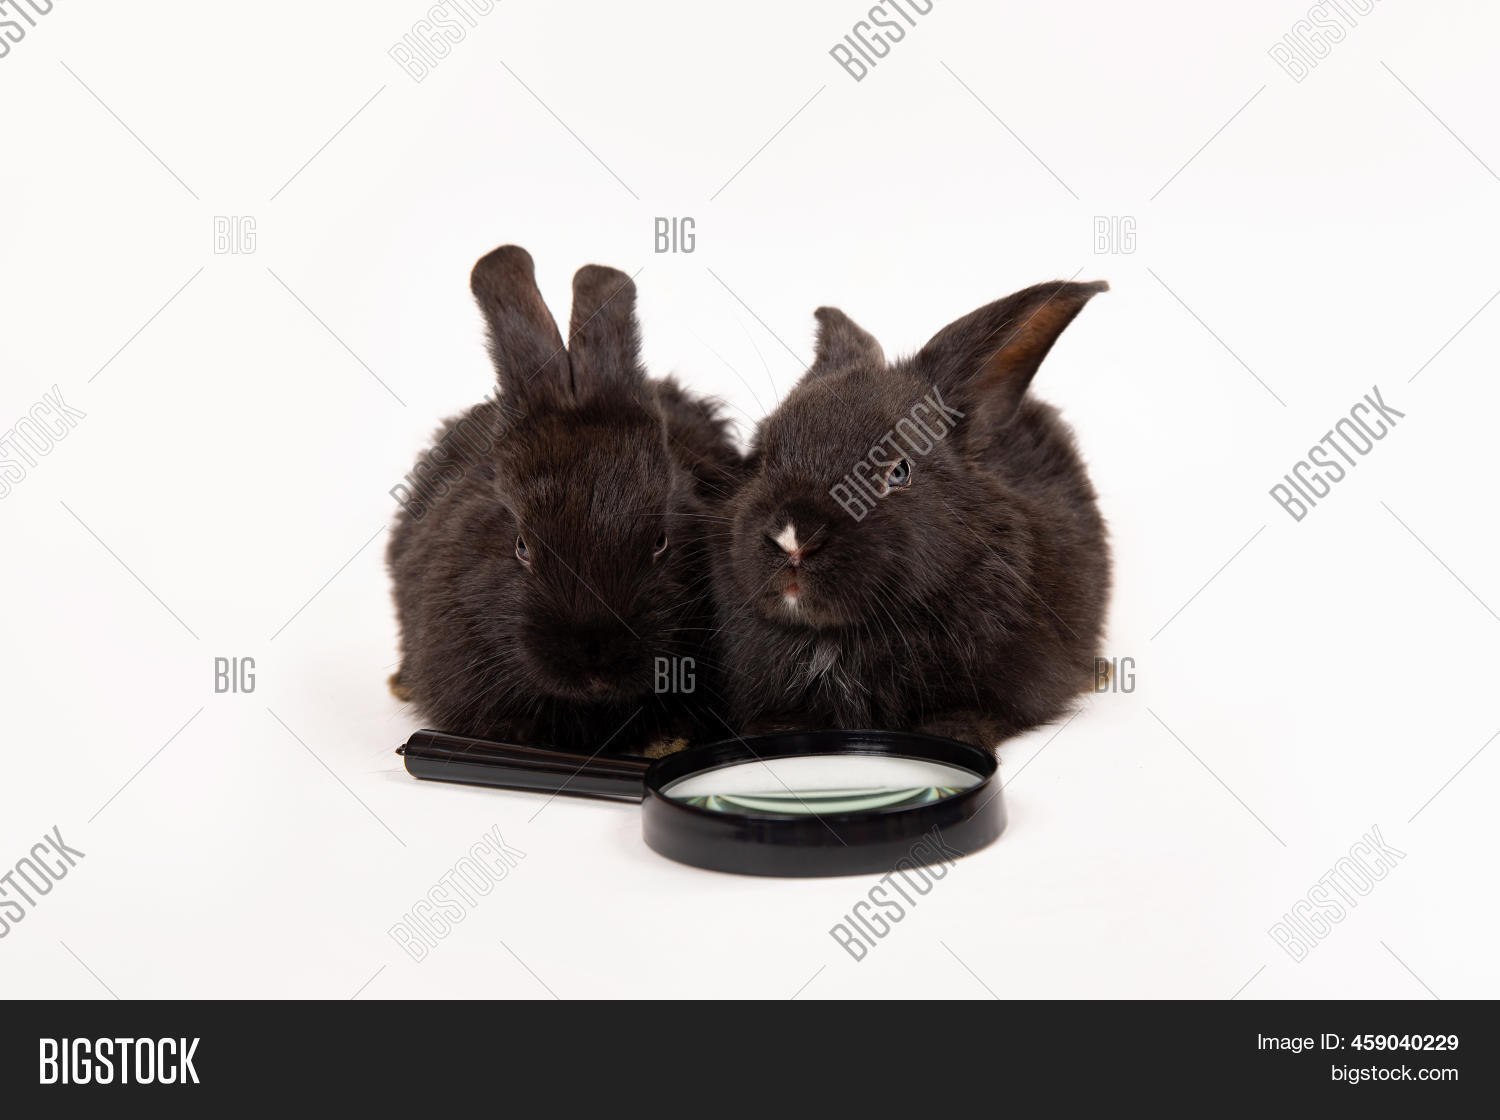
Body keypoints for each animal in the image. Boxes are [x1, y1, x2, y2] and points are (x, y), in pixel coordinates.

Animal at [712, 279, 1110, 750]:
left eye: (898, 471)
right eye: (765, 453)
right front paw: (773, 732)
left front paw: (952, 732)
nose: (794, 538)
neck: (836, 639)